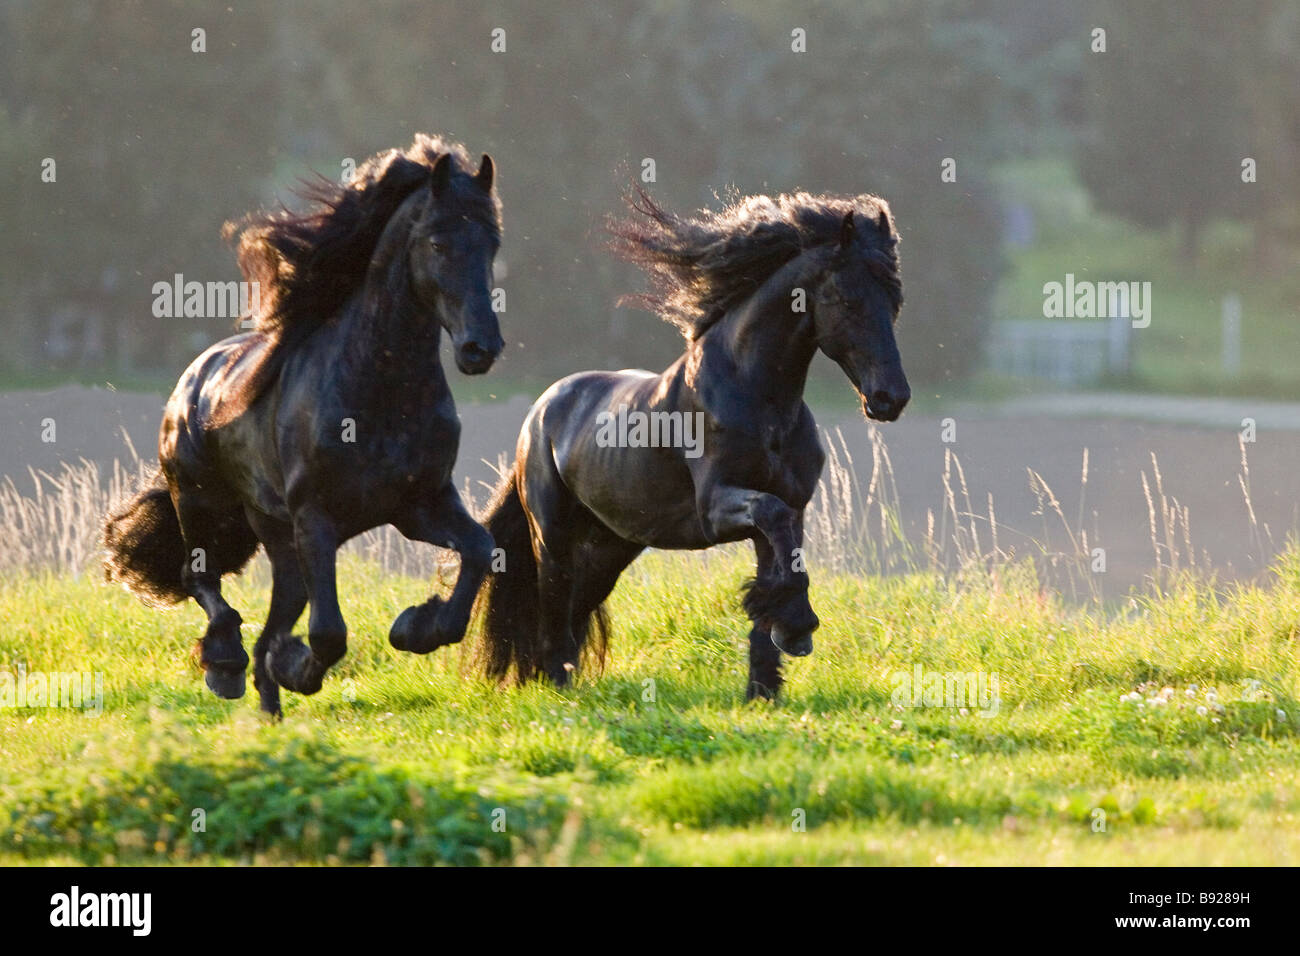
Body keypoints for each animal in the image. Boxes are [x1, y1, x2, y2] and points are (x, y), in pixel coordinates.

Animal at [103, 134, 504, 717]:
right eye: (437, 242)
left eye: (493, 243)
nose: (481, 347)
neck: (381, 390)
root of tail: (191, 382)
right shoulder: (317, 519)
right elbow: (328, 633)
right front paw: (297, 668)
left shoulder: (420, 505)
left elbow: (479, 549)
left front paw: (415, 627)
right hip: (202, 505)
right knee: (200, 580)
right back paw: (226, 665)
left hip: (276, 538)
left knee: (272, 617)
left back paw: (269, 711)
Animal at [475, 186, 908, 700]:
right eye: (846, 299)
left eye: (894, 300)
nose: (891, 398)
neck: (757, 399)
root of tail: (539, 413)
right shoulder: (716, 509)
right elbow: (772, 521)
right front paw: (798, 628)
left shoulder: (792, 508)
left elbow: (781, 561)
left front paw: (765, 685)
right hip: (552, 535)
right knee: (553, 606)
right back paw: (556, 683)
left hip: (610, 547)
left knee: (575, 606)